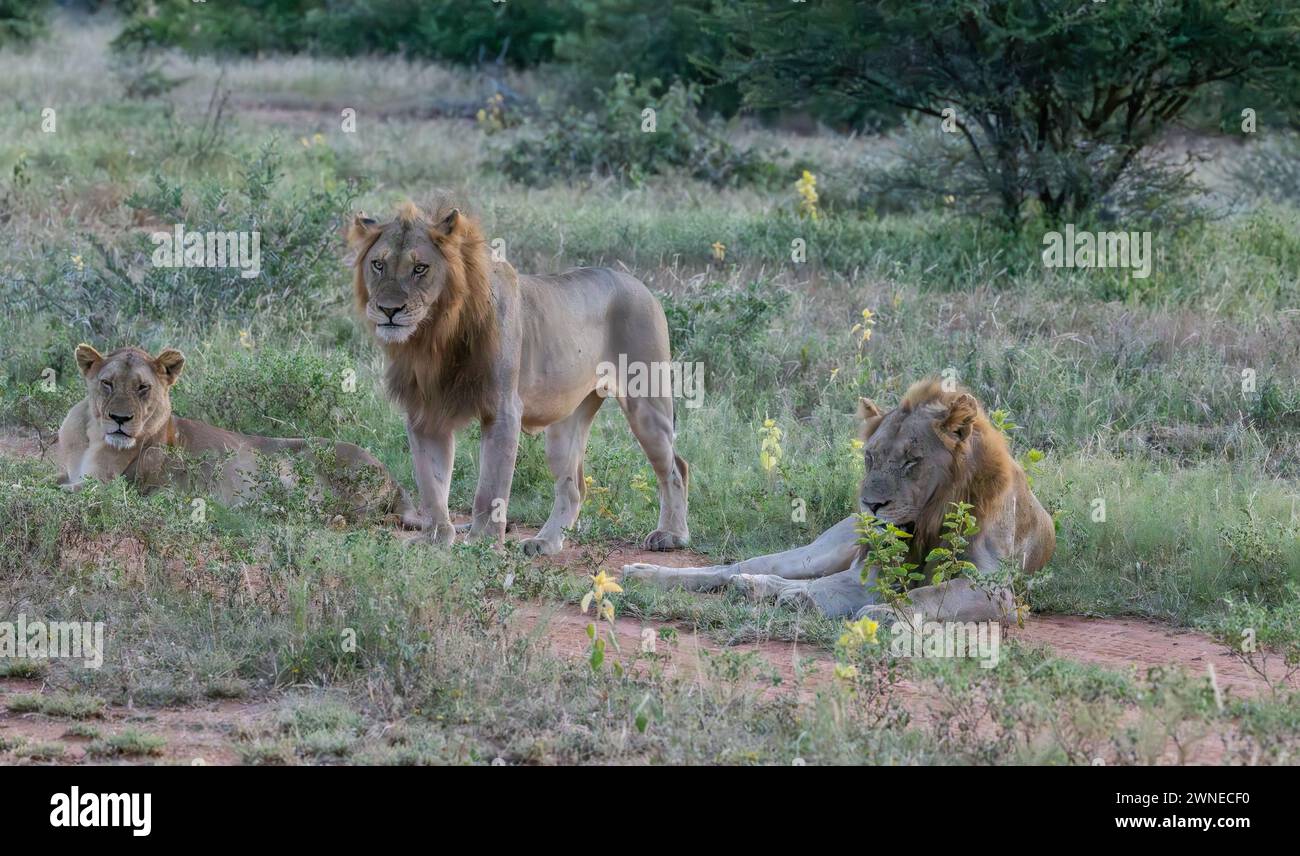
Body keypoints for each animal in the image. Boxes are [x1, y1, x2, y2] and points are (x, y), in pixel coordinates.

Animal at [56, 344, 417, 524]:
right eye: (107, 383)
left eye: (142, 388)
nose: (120, 418)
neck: (91, 437)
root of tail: (391, 475)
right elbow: (57, 481)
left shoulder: (118, 486)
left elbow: (69, 491)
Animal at [346, 200, 689, 554]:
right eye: (378, 264)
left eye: (420, 268)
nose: (389, 310)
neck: (433, 336)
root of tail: (642, 286)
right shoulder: (425, 416)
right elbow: (431, 484)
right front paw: (434, 540)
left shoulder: (502, 410)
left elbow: (490, 490)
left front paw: (482, 545)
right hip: (565, 425)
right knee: (574, 486)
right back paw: (545, 542)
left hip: (646, 403)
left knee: (676, 468)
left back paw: (671, 535)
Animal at [623, 380, 1055, 623]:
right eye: (871, 457)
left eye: (911, 462)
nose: (871, 506)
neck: (930, 518)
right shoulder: (874, 572)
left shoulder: (995, 588)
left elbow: (929, 593)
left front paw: (884, 612)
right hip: (826, 550)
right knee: (738, 567)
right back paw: (645, 573)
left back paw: (757, 589)